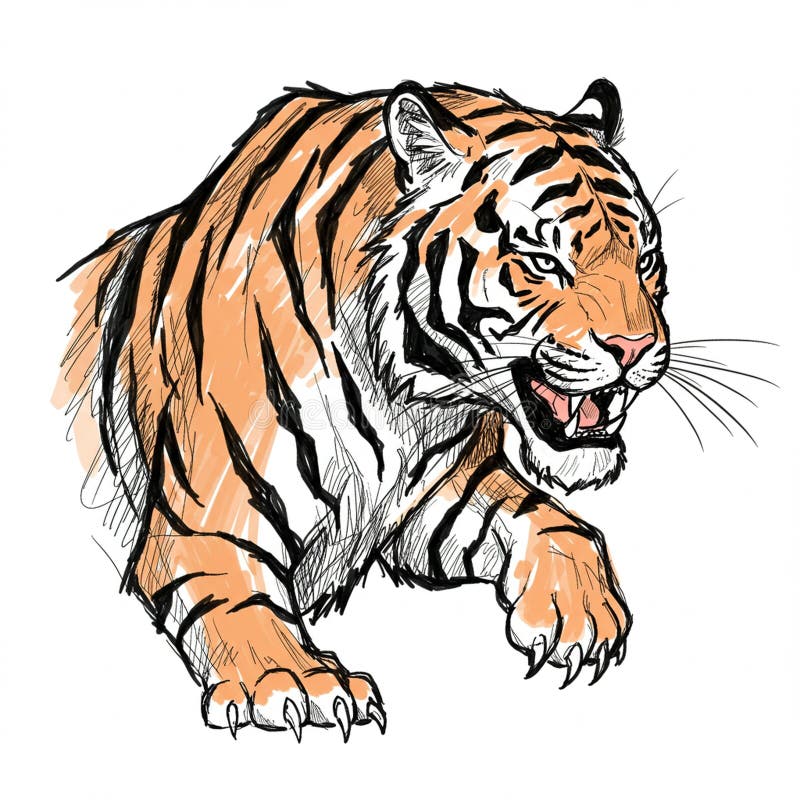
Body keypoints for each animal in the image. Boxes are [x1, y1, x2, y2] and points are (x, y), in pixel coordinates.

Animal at [56, 78, 670, 741]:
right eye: (544, 263)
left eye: (645, 259)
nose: (638, 348)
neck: (411, 398)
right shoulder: (205, 525)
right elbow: (242, 600)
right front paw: (295, 680)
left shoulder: (440, 491)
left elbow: (555, 521)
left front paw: (584, 613)